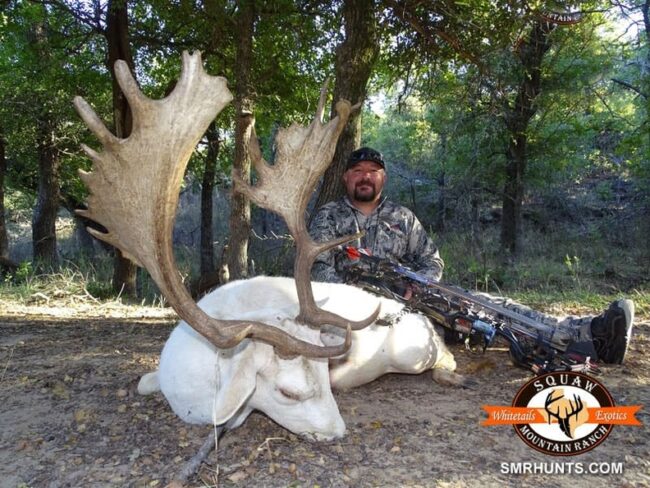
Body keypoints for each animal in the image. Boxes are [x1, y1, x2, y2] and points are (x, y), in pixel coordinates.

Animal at [74, 51, 464, 442]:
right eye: (288, 392)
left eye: (326, 373)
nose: (339, 432)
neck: (191, 391)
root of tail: (421, 317)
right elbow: (142, 381)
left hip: (412, 352)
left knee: (446, 353)